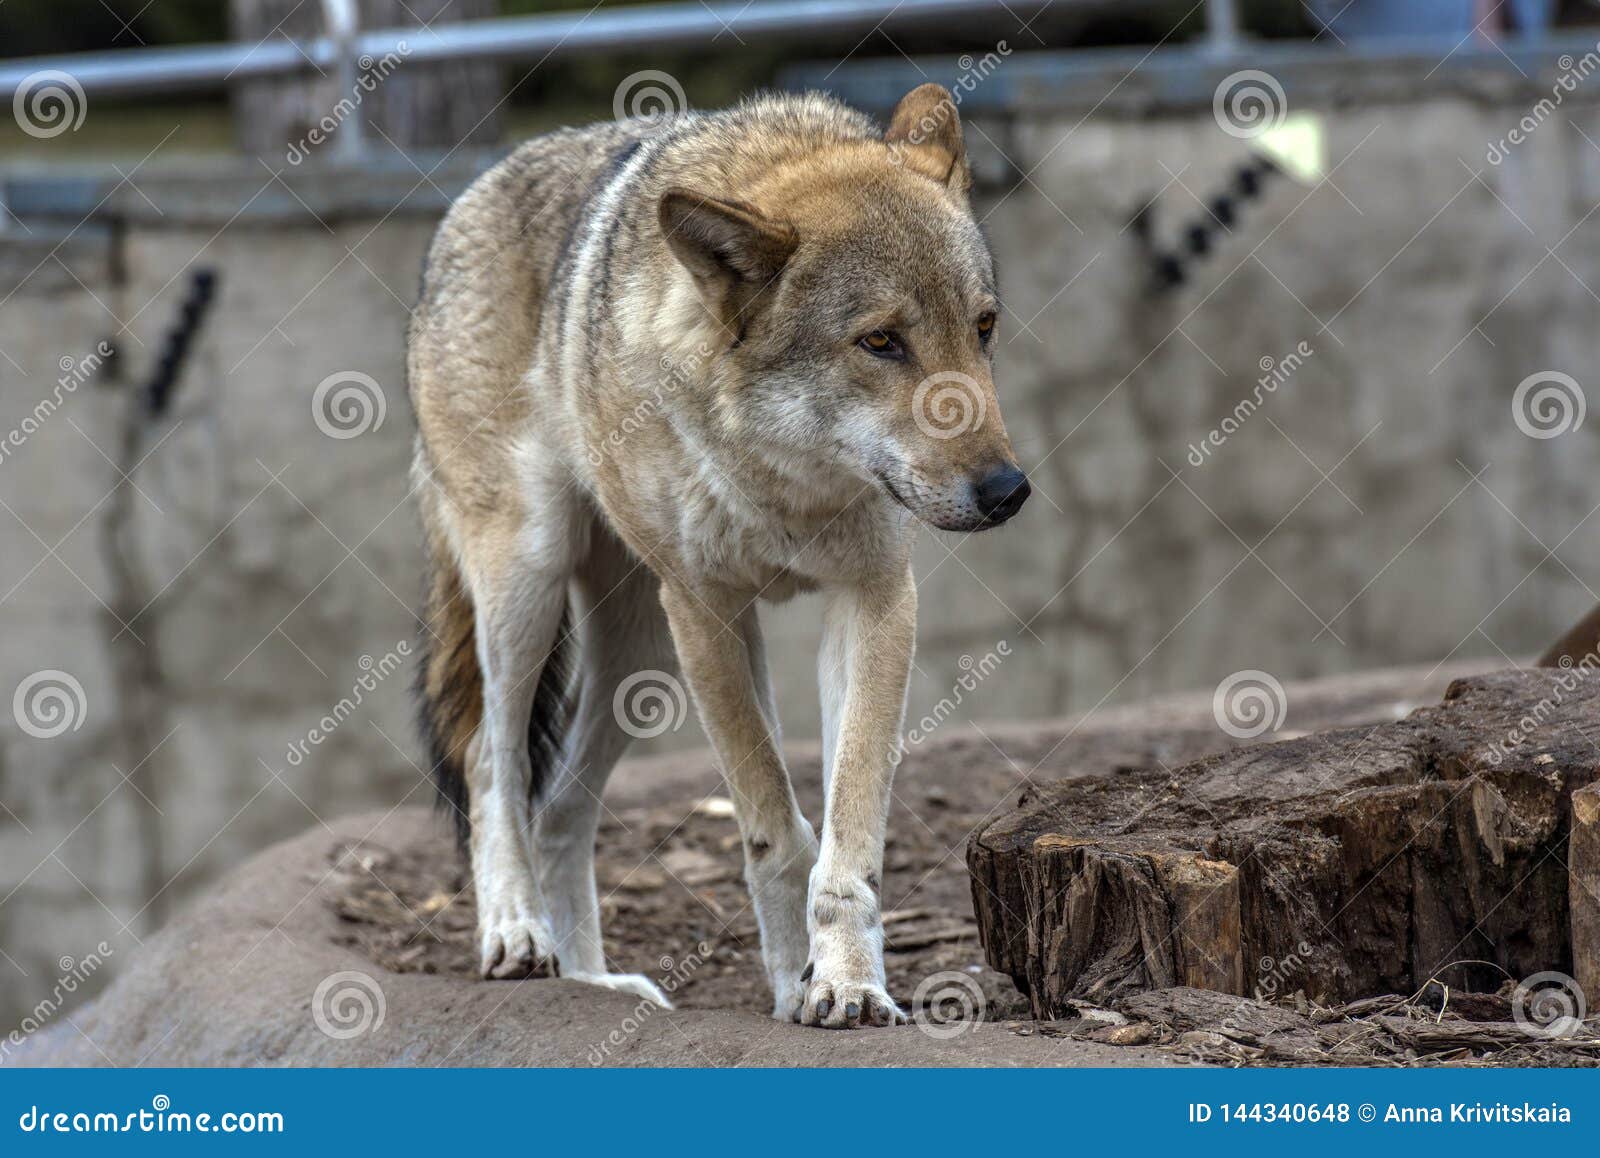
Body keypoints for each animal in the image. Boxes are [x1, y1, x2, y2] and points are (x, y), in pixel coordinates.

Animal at [407, 84, 1030, 1028]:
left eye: (983, 328)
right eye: (881, 342)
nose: (1008, 490)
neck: (784, 481)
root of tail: (462, 206)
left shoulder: (874, 599)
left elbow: (848, 830)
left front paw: (842, 982)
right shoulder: (709, 610)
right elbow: (776, 827)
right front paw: (798, 983)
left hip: (640, 658)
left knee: (560, 809)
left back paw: (593, 984)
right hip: (536, 590)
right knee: (493, 762)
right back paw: (516, 933)